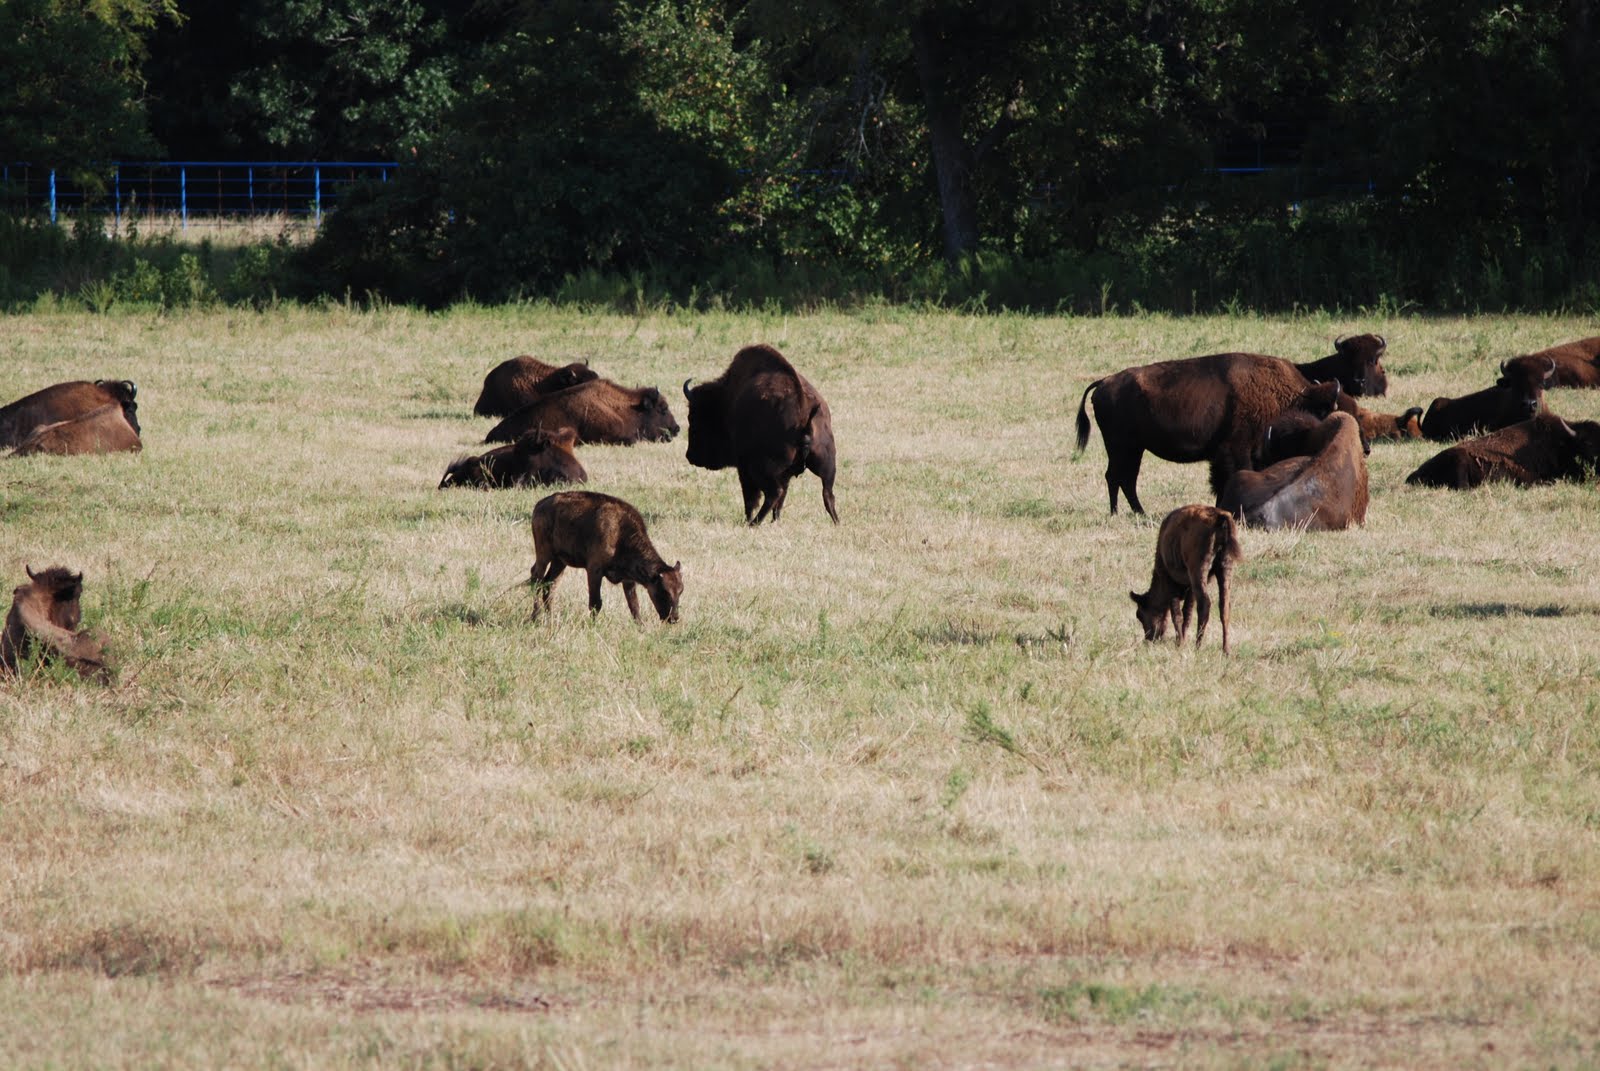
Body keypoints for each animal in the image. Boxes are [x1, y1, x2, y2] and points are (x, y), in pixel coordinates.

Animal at [528, 491, 683, 623]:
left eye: (680, 591)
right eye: (663, 591)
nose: (674, 618)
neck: (620, 532)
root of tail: (540, 505)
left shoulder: (628, 580)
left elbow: (634, 606)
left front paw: (641, 627)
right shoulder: (594, 570)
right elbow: (595, 603)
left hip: (560, 561)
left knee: (549, 585)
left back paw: (550, 618)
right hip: (544, 554)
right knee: (537, 580)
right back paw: (535, 617)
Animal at [683, 344, 839, 525]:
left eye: (693, 418)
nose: (690, 456)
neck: (727, 398)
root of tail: (804, 414)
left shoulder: (744, 468)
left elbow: (751, 498)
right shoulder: (784, 474)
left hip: (762, 470)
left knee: (774, 493)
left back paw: (753, 523)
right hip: (826, 466)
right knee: (827, 495)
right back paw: (836, 523)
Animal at [1130, 504, 1242, 655]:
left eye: (1140, 615)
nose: (1149, 638)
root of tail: (1220, 517)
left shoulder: (1169, 582)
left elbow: (1177, 614)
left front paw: (1180, 642)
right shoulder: (1190, 588)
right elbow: (1187, 613)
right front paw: (1182, 639)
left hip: (1198, 570)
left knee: (1205, 604)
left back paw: (1198, 646)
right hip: (1225, 568)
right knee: (1224, 607)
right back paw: (1226, 650)